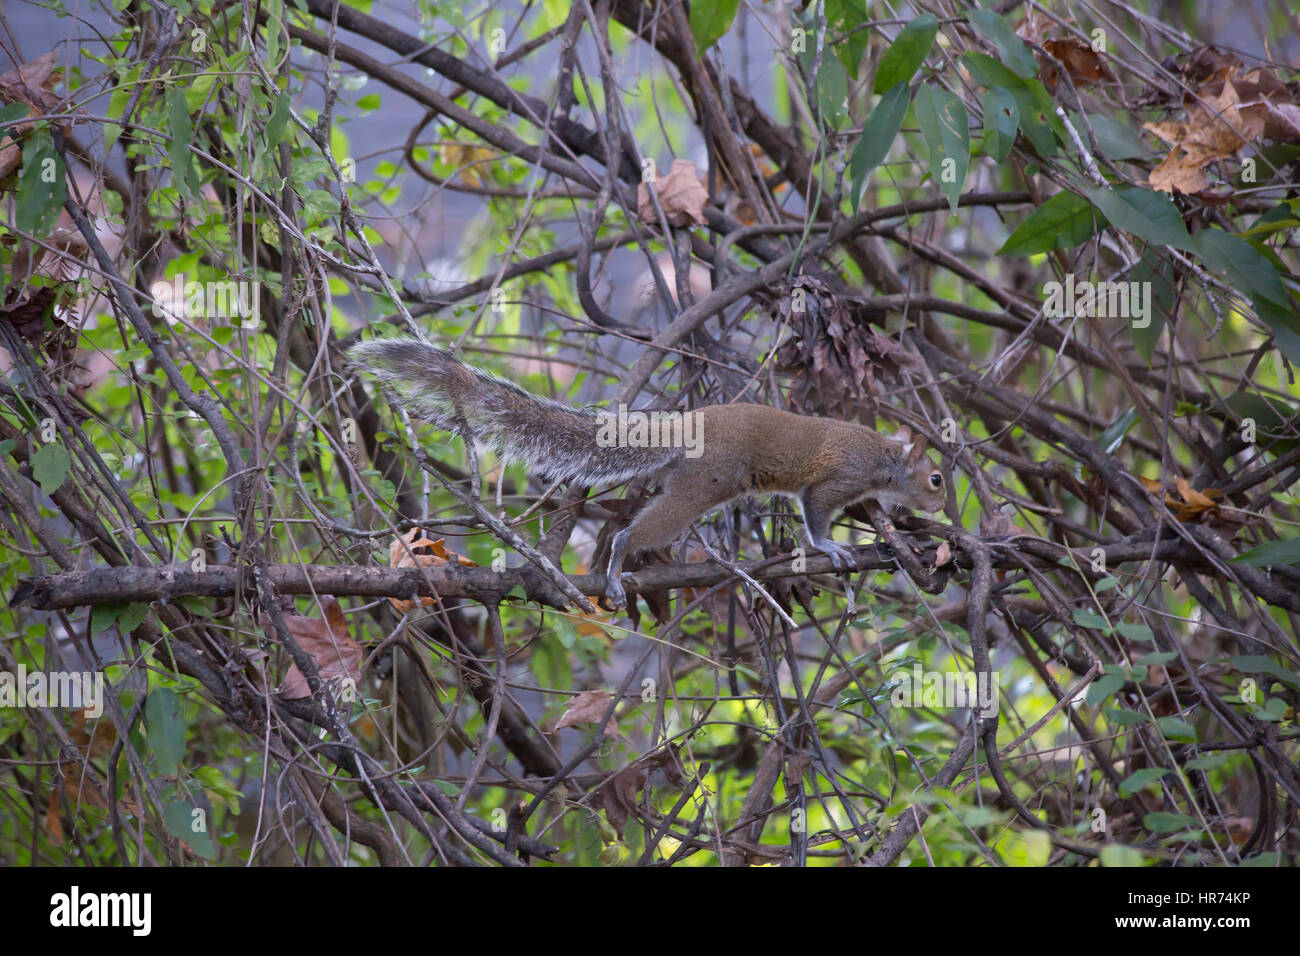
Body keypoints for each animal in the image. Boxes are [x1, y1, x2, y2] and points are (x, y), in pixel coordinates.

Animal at [347, 338, 946, 607]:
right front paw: (832, 547)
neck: (884, 459)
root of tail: (687, 427)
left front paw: (887, 530)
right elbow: (817, 513)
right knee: (638, 532)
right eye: (937, 479)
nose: (942, 506)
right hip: (706, 484)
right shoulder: (836, 479)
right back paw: (616, 564)